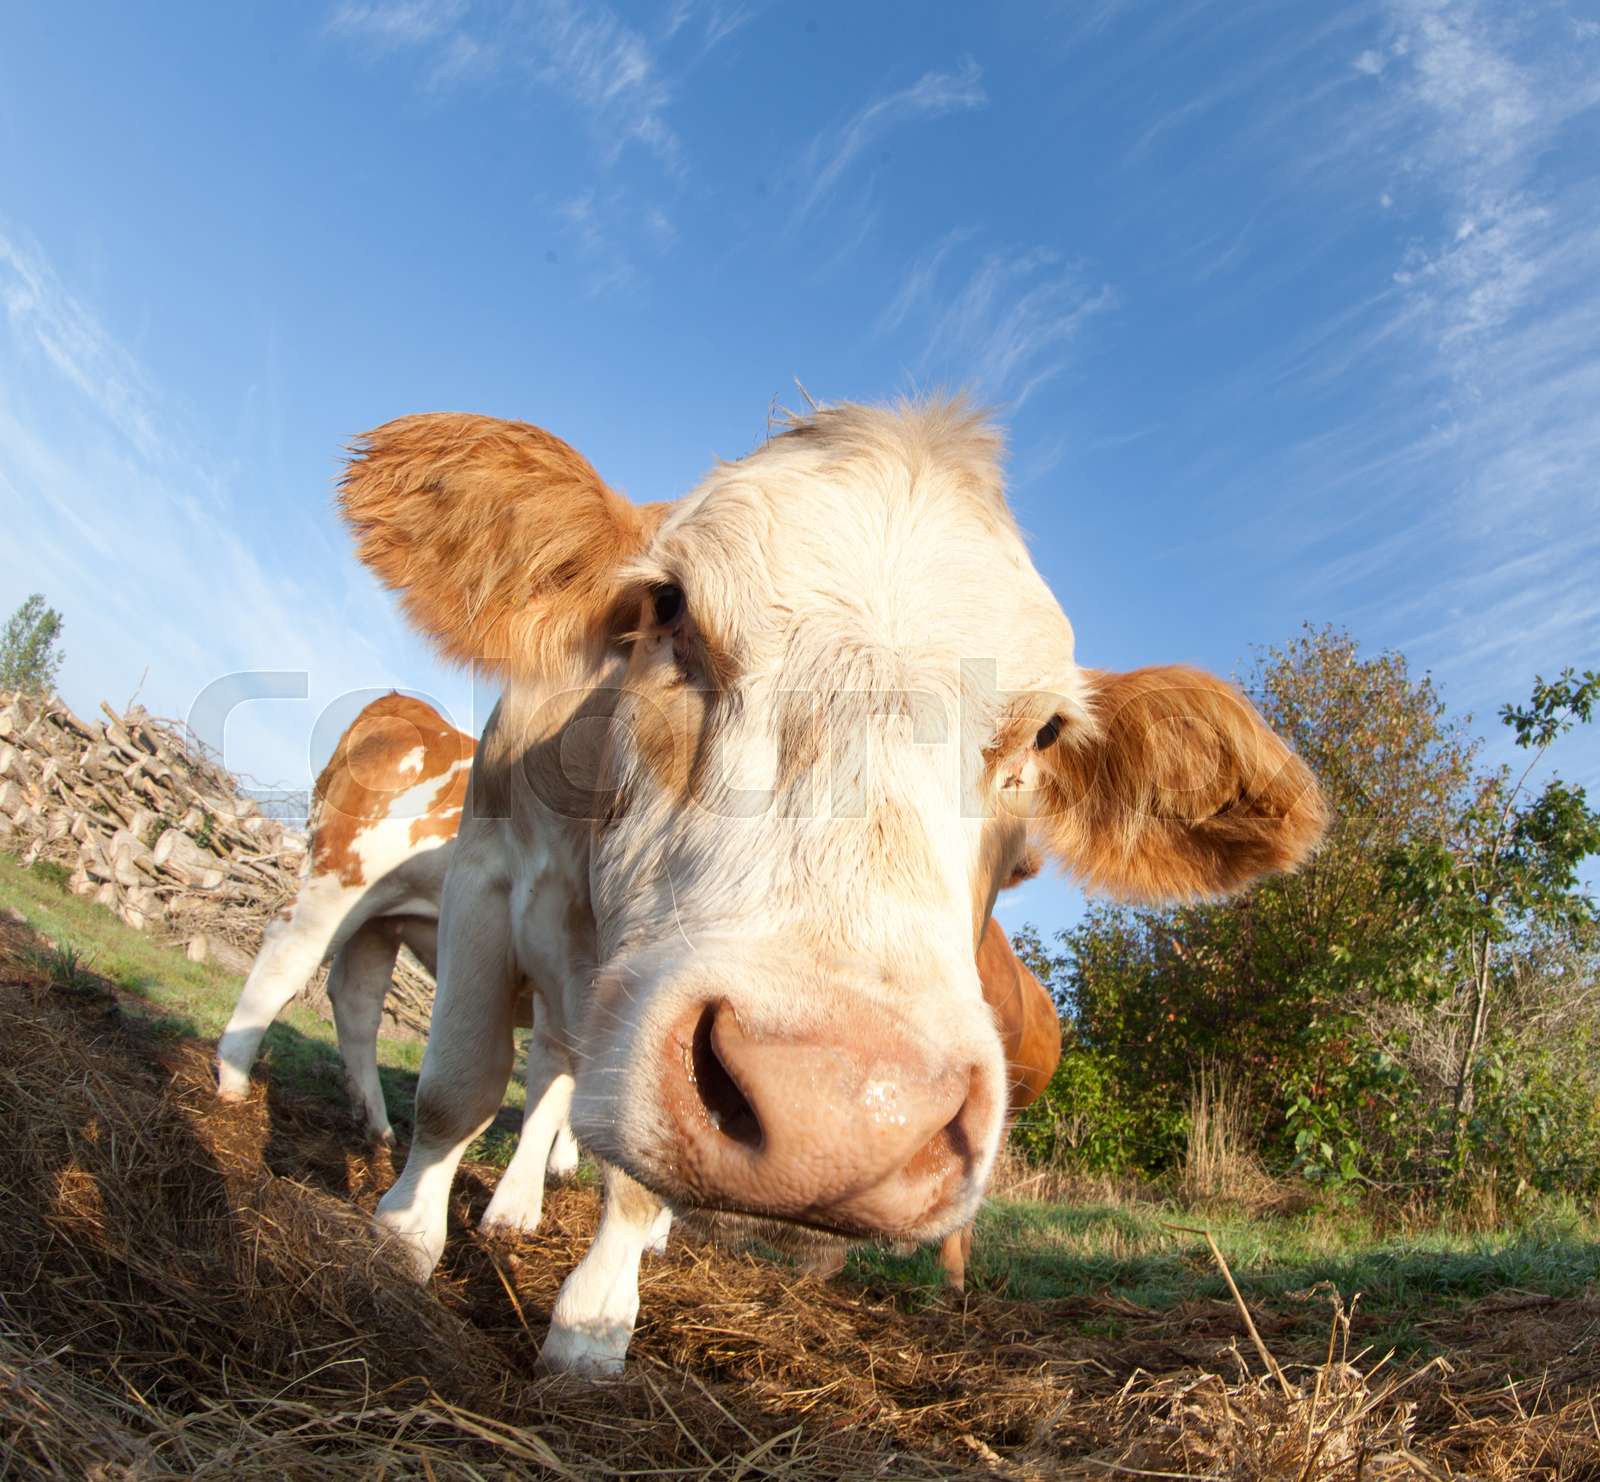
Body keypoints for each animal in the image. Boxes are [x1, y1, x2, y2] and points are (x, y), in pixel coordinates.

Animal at [334, 398, 1324, 1375]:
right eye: (669, 606)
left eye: (1044, 733)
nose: (836, 1112)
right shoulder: (485, 872)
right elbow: (458, 1084)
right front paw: (401, 1245)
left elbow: (634, 1186)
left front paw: (592, 1326)